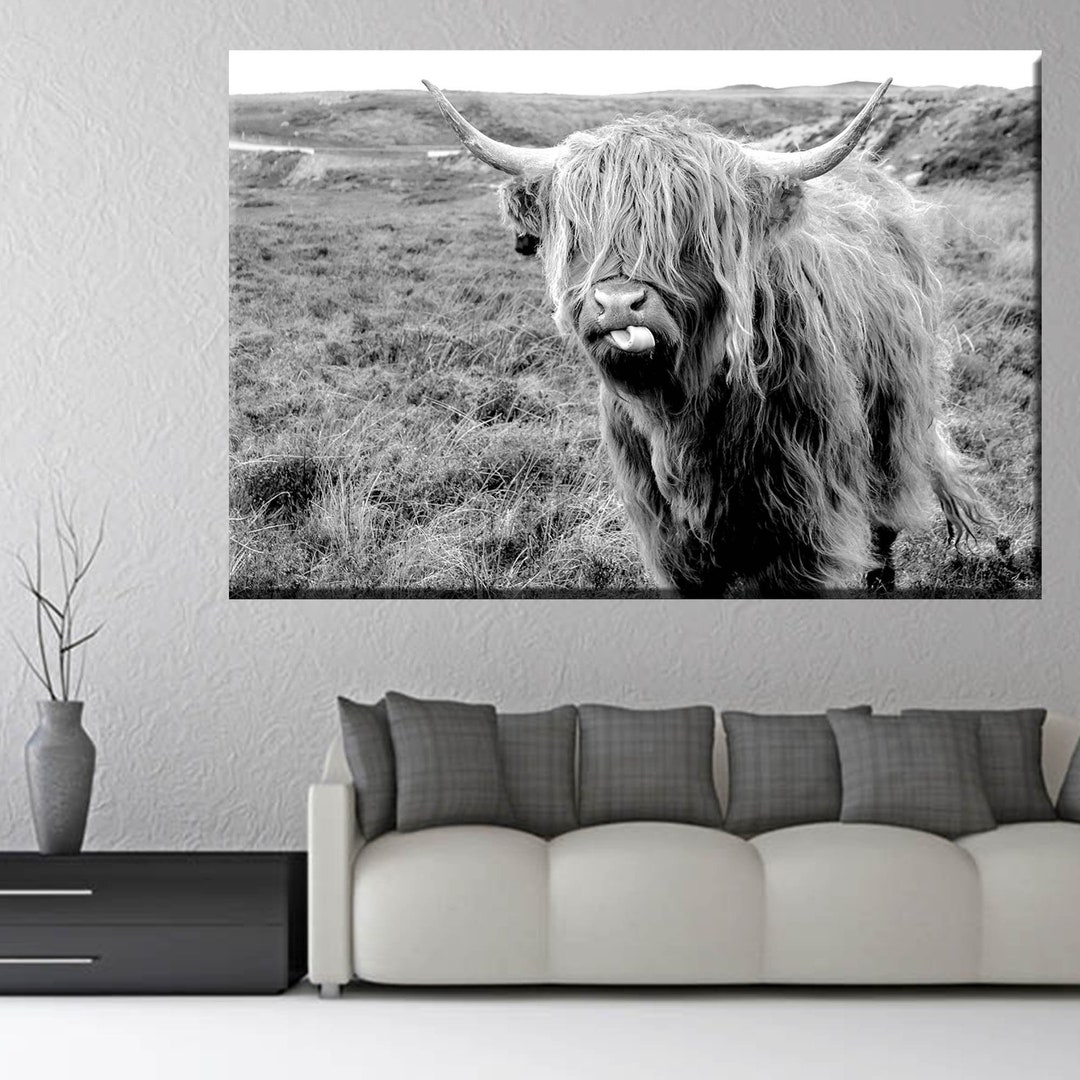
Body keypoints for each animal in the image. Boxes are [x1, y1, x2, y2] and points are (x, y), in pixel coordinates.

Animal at [423, 79, 987, 597]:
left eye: (690, 234)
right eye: (579, 233)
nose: (618, 303)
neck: (683, 412)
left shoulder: (801, 522)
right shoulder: (666, 532)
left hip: (894, 416)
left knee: (885, 514)